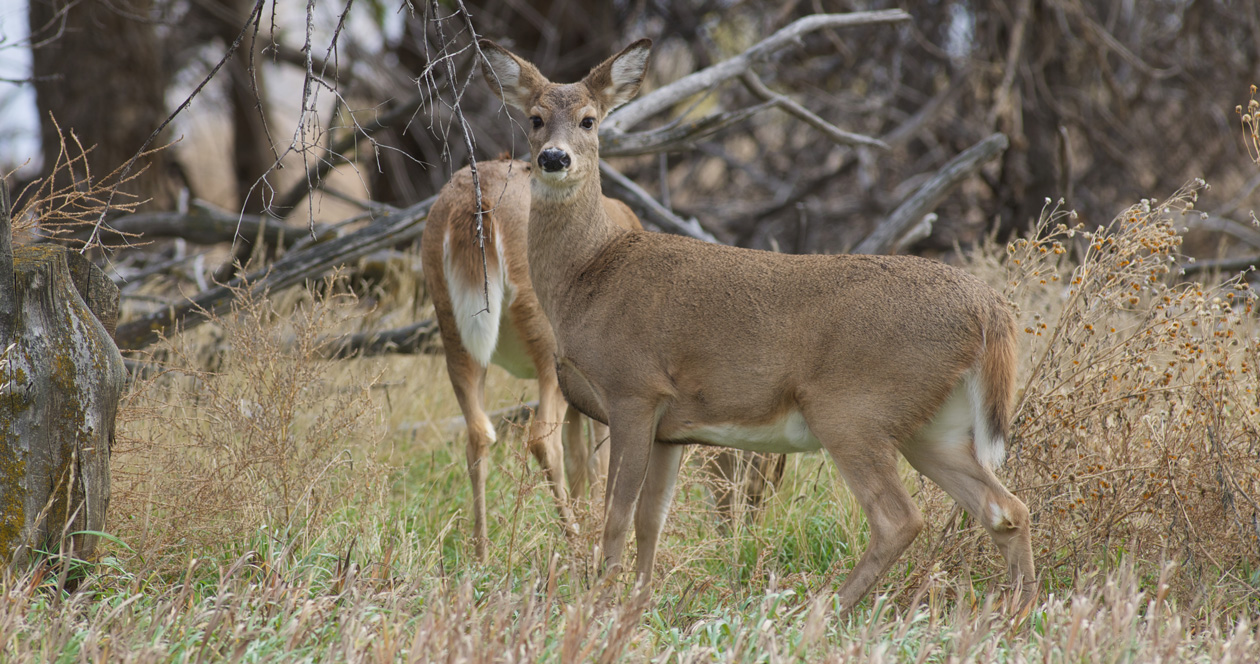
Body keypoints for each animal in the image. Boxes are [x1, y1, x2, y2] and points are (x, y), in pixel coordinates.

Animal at [477, 38, 1036, 611]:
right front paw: (639, 600)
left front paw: (601, 602)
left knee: (900, 519)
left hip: (851, 409)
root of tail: (990, 309)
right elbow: (651, 521)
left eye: (589, 120)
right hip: (934, 425)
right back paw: (1018, 610)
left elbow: (616, 516)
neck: (590, 275)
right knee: (1007, 508)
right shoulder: (670, 428)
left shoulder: (634, 390)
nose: (553, 158)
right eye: (535, 118)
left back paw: (823, 608)